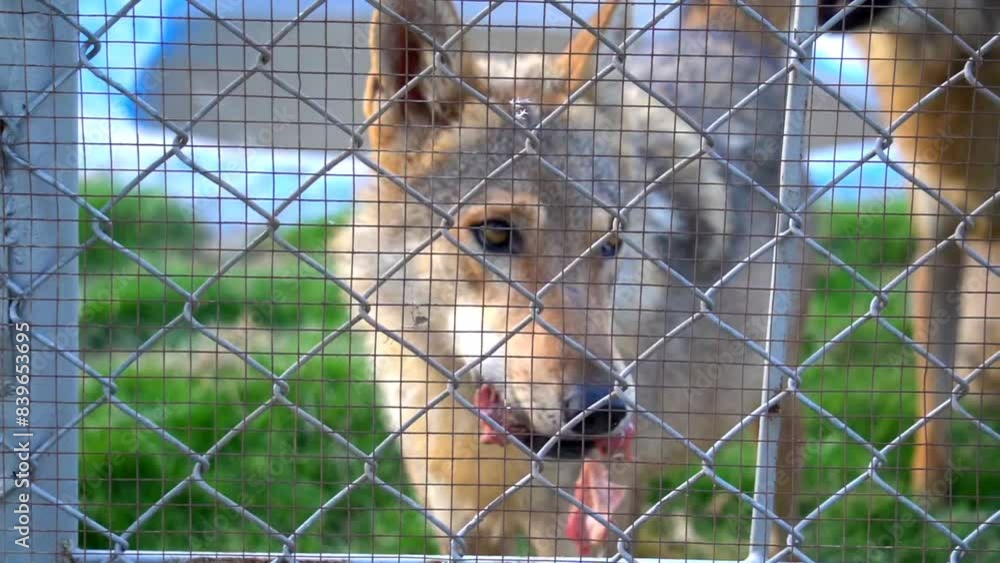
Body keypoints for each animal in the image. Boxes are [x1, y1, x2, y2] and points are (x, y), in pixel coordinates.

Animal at [334, 0, 806, 557]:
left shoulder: (571, 529)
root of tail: (725, 32)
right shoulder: (459, 525)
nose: (603, 410)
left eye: (610, 245)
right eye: (496, 234)